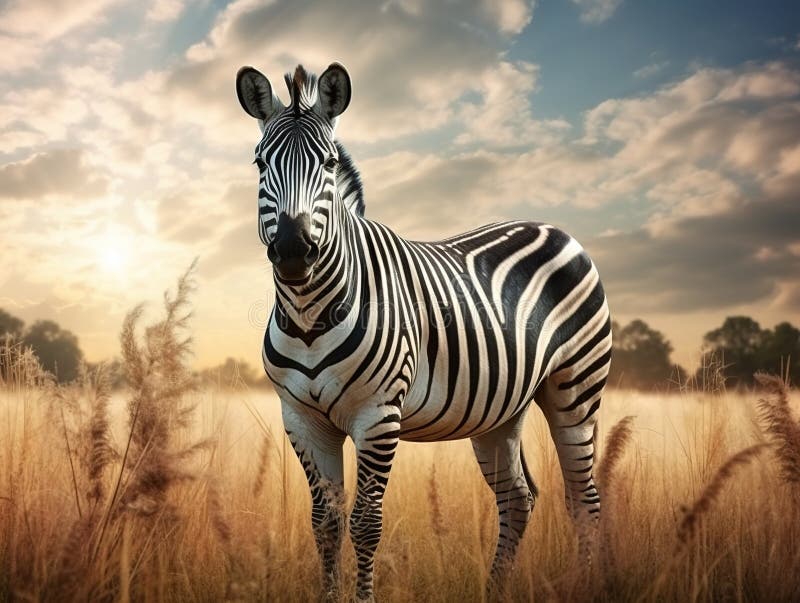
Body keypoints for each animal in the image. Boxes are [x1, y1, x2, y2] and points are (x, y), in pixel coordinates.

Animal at [235, 63, 611, 601]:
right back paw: (494, 590)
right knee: (518, 497)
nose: (292, 250)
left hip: (577, 389)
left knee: (584, 499)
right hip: (502, 410)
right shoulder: (301, 419)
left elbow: (365, 522)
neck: (309, 315)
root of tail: (556, 229)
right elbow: (325, 522)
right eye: (260, 164)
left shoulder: (378, 415)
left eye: (328, 164)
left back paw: (586, 583)